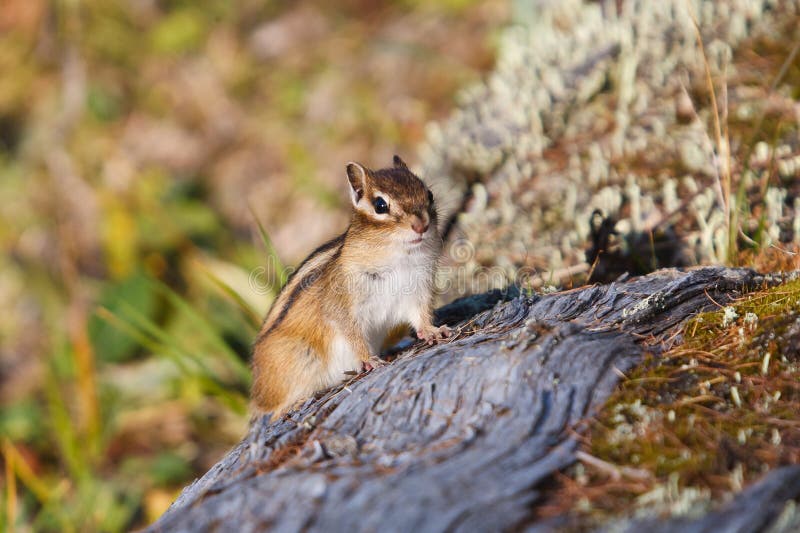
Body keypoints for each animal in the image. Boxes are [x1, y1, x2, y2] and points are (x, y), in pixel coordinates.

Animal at [251, 155, 451, 418]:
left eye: (429, 194)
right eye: (380, 205)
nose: (421, 225)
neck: (399, 256)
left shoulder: (418, 290)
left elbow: (420, 316)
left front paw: (432, 331)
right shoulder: (340, 305)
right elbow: (351, 332)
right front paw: (369, 359)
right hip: (299, 358)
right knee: (273, 411)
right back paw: (293, 403)